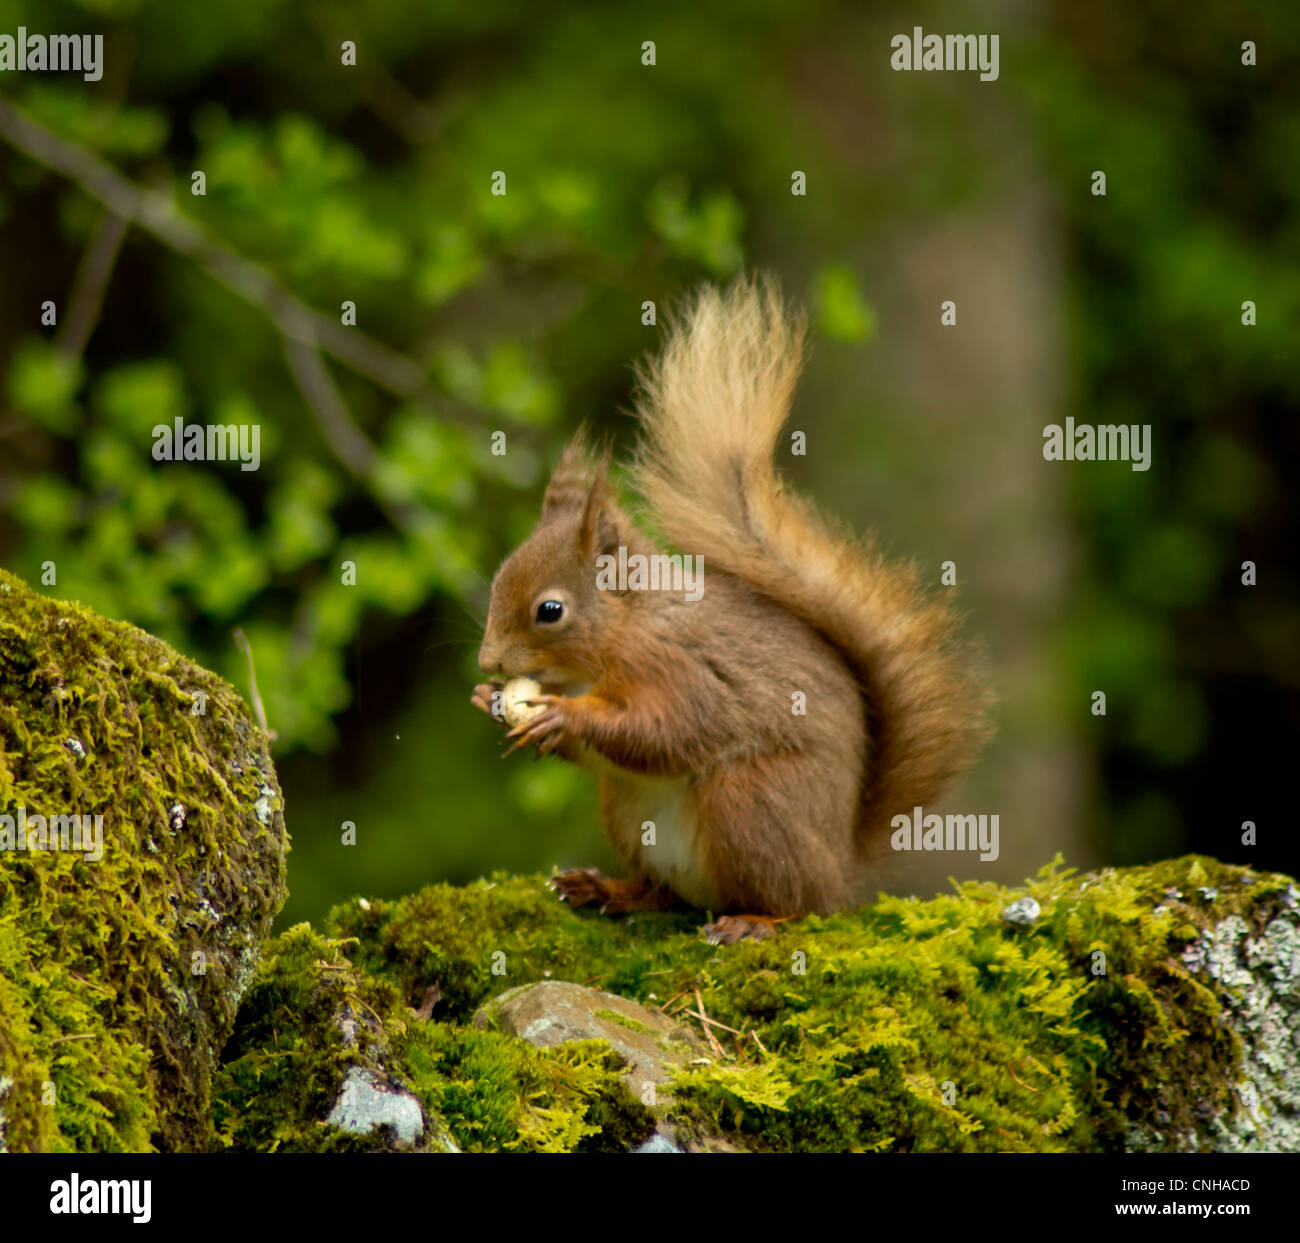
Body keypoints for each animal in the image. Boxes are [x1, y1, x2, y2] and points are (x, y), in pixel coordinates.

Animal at [472, 275, 991, 943]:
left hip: (750, 803)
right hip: (625, 809)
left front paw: (565, 717)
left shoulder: (679, 669)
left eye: (550, 611)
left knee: (794, 900)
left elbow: (669, 731)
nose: (489, 661)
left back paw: (754, 920)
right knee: (665, 894)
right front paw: (487, 701)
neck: (625, 629)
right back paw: (612, 890)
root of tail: (840, 867)